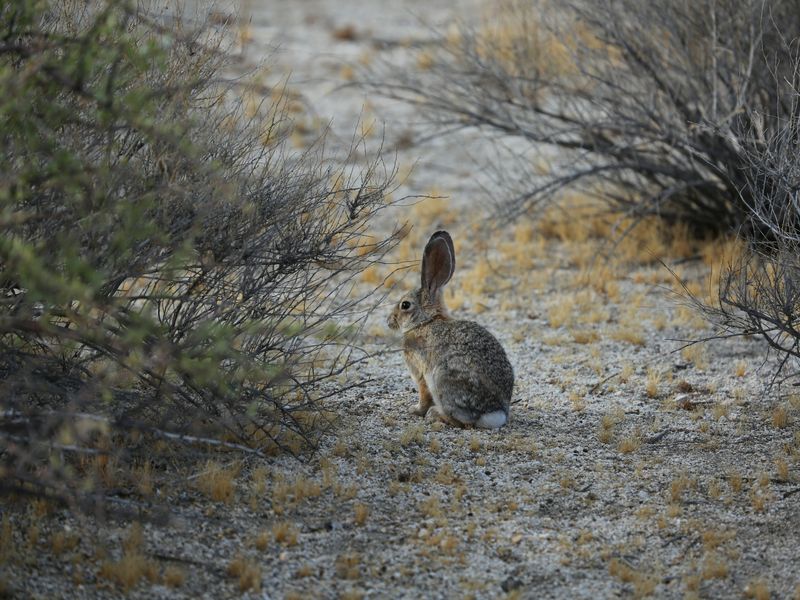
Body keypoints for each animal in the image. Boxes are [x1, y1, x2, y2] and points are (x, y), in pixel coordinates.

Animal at [387, 230, 514, 429]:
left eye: (405, 305)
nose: (389, 321)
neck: (426, 322)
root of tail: (495, 413)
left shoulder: (420, 374)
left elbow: (423, 395)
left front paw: (415, 410)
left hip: (442, 379)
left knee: (461, 420)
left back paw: (435, 415)